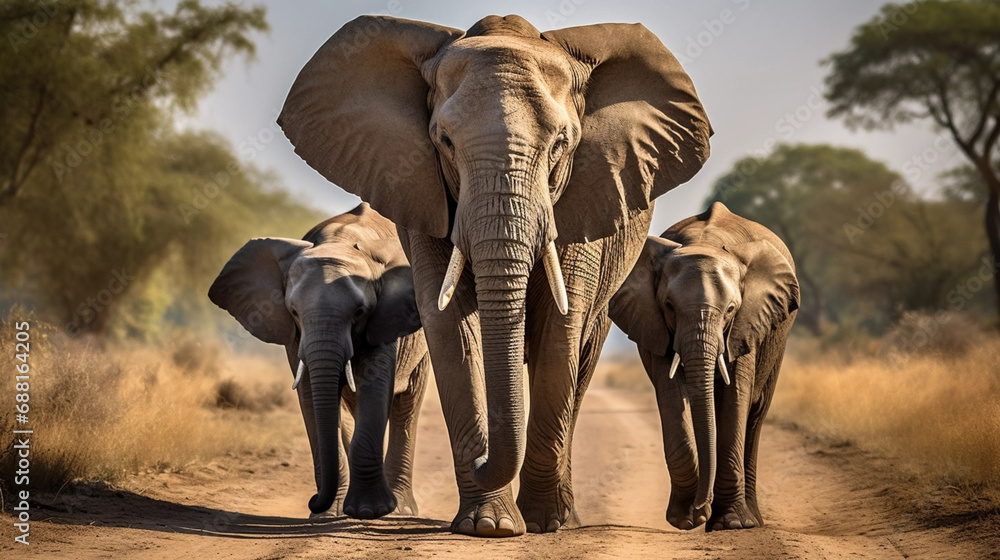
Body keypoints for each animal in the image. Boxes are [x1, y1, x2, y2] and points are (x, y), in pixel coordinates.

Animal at [208, 203, 429, 519]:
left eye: (360, 312)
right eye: (293, 311)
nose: (313, 501)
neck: (339, 242)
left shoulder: (385, 317)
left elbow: (375, 384)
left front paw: (369, 511)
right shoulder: (293, 335)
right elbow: (312, 394)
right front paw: (327, 514)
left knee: (407, 406)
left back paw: (401, 511)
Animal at [277, 14, 711, 536]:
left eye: (562, 145)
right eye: (444, 142)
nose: (483, 459)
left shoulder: (587, 194)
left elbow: (559, 328)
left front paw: (538, 523)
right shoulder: (422, 193)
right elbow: (450, 328)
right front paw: (489, 525)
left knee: (580, 360)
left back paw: (564, 517)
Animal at [609, 201, 799, 532]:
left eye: (731, 309)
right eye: (669, 306)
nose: (702, 507)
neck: (706, 242)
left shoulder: (747, 322)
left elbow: (736, 395)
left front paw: (732, 523)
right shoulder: (654, 322)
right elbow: (671, 394)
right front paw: (686, 519)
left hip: (778, 340)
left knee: (755, 415)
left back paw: (750, 520)